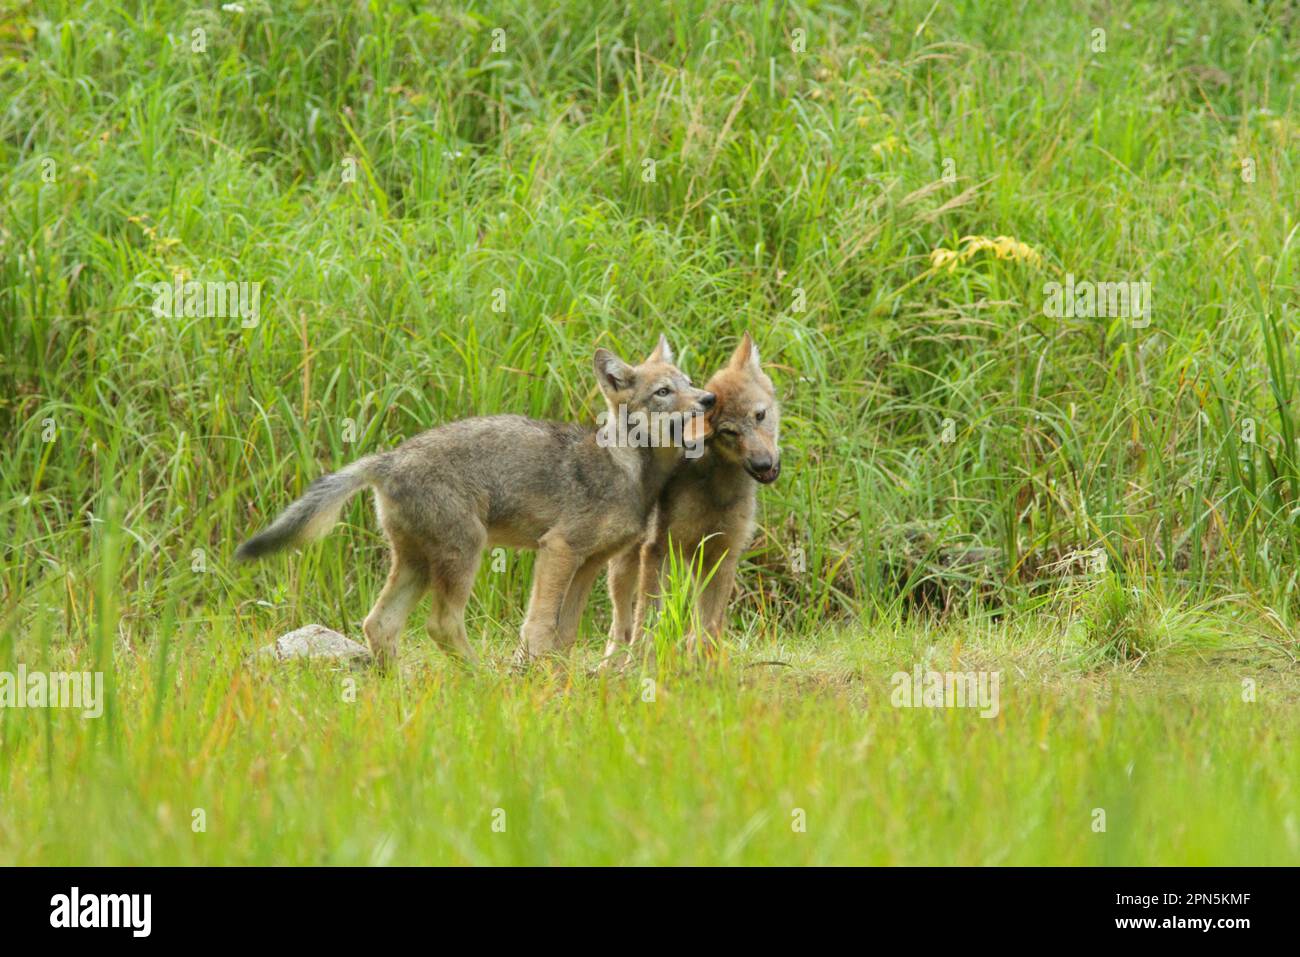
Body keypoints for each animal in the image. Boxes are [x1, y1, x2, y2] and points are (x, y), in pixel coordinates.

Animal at [235, 336, 714, 668]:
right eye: (663, 392)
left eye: (690, 384)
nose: (710, 399)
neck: (631, 471)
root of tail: (389, 458)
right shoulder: (558, 549)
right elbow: (540, 626)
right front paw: (532, 675)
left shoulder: (590, 563)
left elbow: (566, 633)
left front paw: (557, 677)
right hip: (466, 552)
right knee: (440, 625)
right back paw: (481, 679)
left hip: (419, 563)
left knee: (379, 623)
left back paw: (399, 686)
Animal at [601, 332, 780, 667]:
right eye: (729, 432)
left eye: (760, 415)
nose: (764, 465)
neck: (717, 490)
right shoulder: (657, 549)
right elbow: (645, 620)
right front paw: (639, 667)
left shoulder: (722, 555)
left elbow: (710, 626)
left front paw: (708, 669)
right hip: (627, 567)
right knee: (620, 623)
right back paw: (610, 665)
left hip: (692, 566)